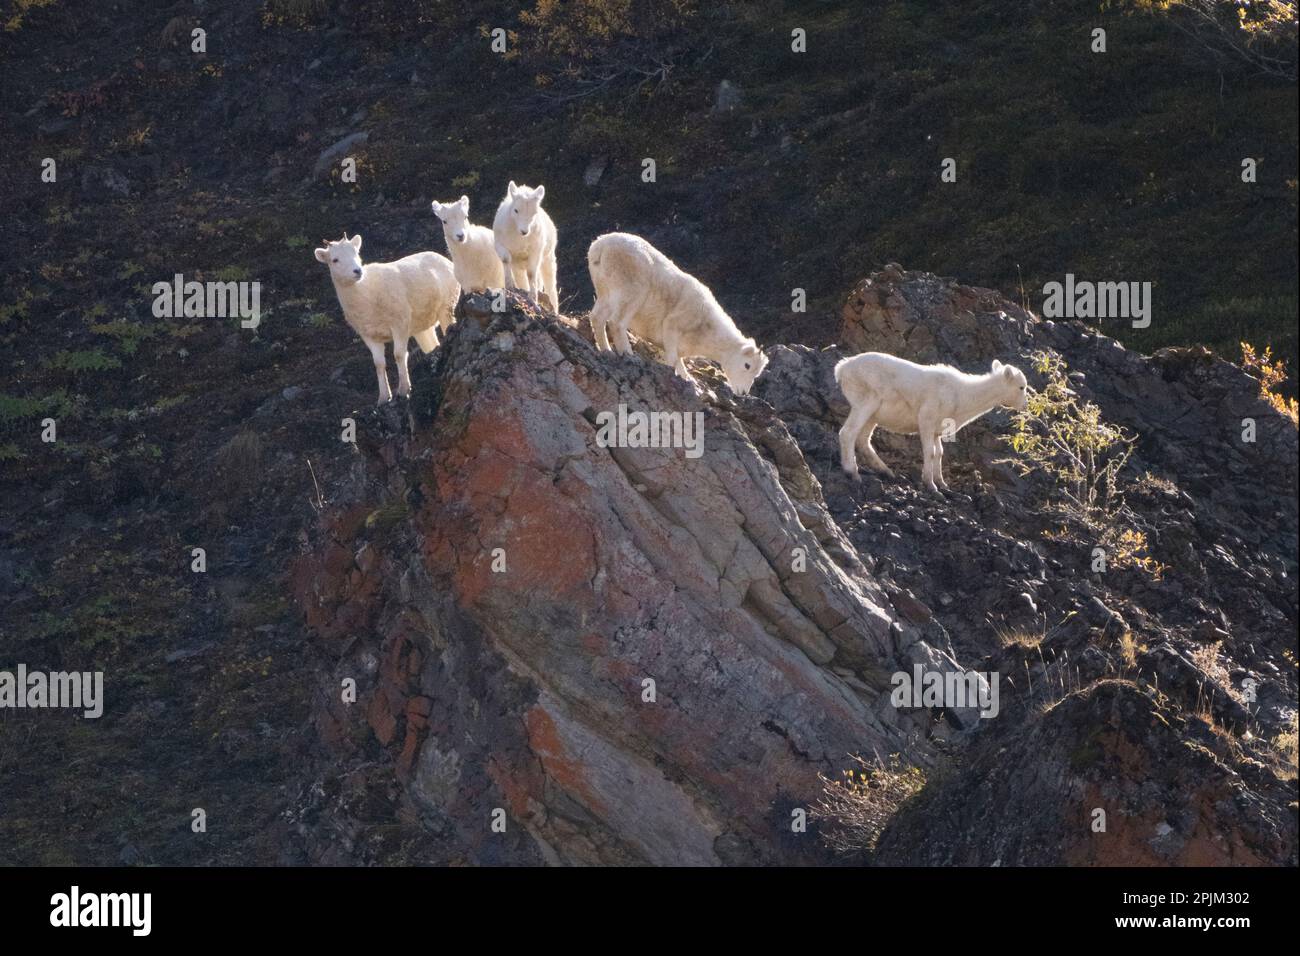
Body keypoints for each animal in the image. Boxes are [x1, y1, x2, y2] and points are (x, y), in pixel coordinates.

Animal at [313, 233, 459, 403]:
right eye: (335, 259)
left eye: (356, 252)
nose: (357, 271)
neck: (367, 297)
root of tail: (446, 261)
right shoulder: (369, 336)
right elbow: (379, 364)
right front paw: (383, 398)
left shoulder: (400, 324)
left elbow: (399, 355)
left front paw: (404, 391)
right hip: (421, 328)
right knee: (432, 345)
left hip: (447, 308)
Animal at [492, 181, 559, 312]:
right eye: (516, 210)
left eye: (534, 212)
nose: (524, 231)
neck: (519, 238)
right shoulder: (500, 245)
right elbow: (506, 259)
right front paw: (509, 286)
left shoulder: (536, 251)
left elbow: (531, 273)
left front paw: (533, 299)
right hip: (518, 266)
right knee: (522, 280)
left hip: (547, 259)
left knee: (549, 285)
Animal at [587, 232, 770, 396]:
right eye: (747, 365)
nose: (743, 393)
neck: (706, 329)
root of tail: (600, 247)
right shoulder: (673, 325)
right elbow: (673, 360)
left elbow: (680, 362)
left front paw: (690, 380)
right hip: (632, 290)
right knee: (617, 322)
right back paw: (629, 355)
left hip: (605, 290)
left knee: (598, 317)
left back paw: (606, 350)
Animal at [834, 351, 1029, 493]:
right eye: (1021, 387)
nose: (1025, 406)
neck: (962, 395)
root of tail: (842, 368)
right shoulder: (926, 421)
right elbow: (930, 452)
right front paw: (931, 485)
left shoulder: (937, 431)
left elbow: (939, 453)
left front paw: (942, 484)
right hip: (864, 404)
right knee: (848, 433)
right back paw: (852, 472)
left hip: (873, 416)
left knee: (863, 440)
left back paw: (886, 471)